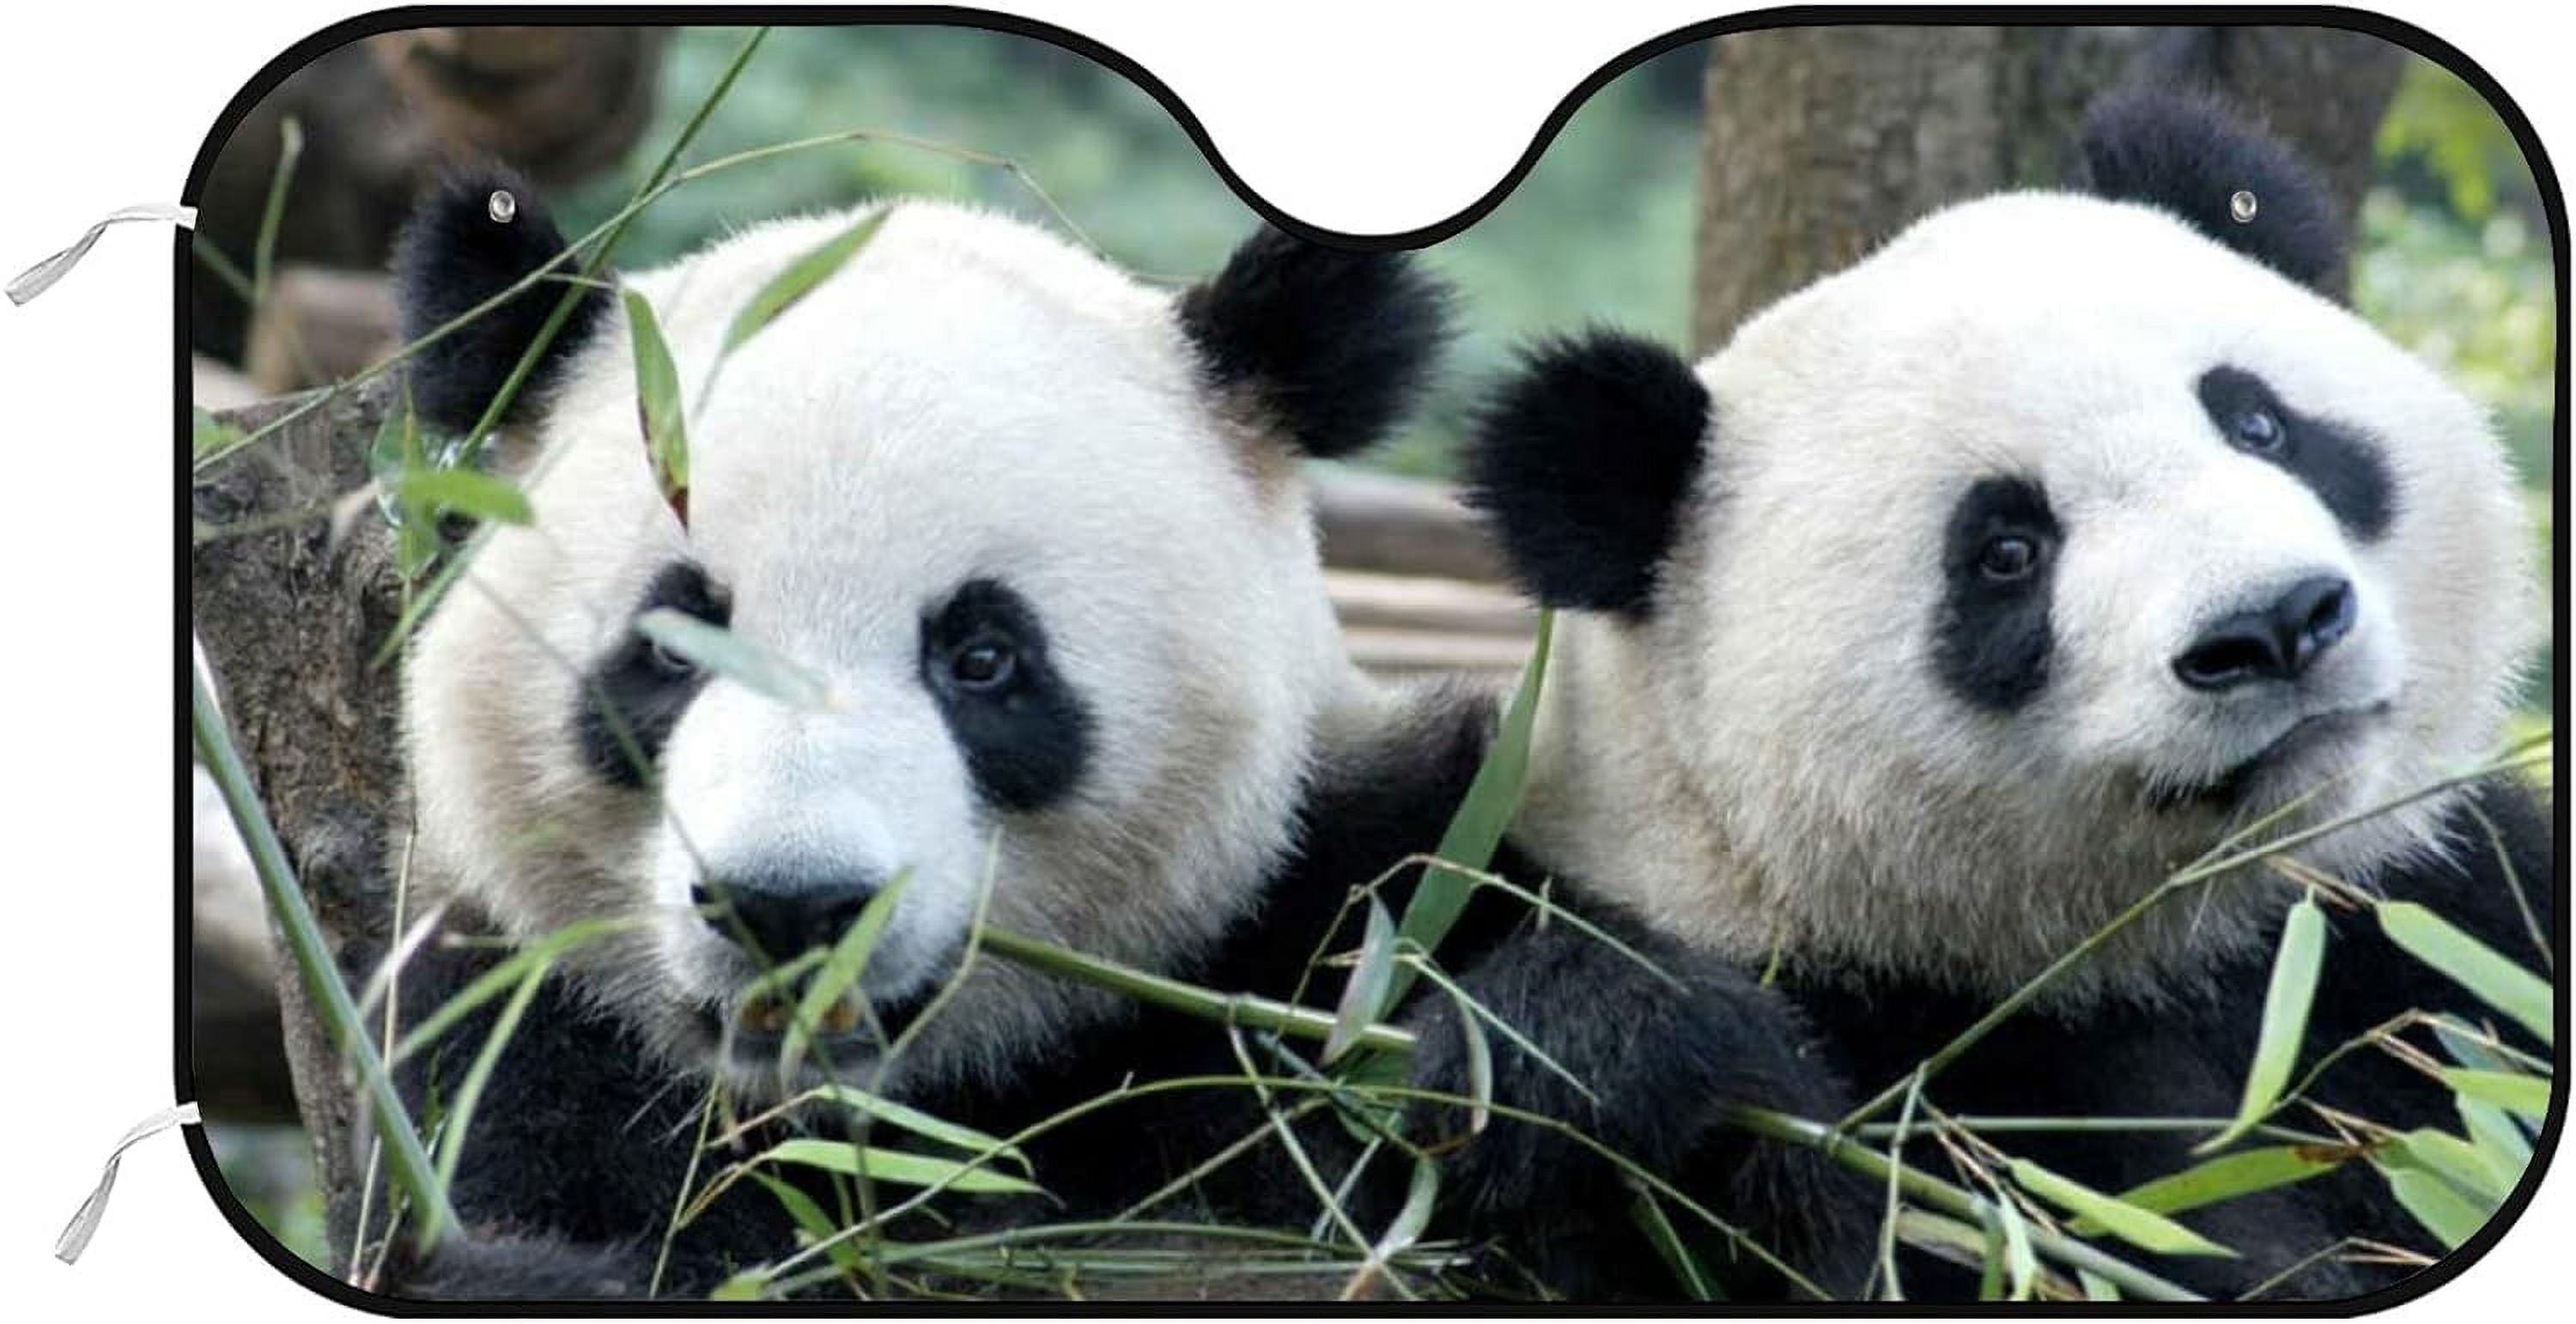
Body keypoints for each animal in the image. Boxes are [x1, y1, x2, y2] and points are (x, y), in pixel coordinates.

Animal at [368, 171, 1861, 1302]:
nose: (794, 907)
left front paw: (1569, 1065)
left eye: (983, 657)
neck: (924, 1113)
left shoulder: (1337, 903)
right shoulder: (519, 1043)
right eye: (672, 649)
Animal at [1460, 89, 2553, 1301]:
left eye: (2261, 424)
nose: (2273, 625)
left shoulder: (2424, 927)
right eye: (2006, 552)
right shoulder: (1920, 1057)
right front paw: (1614, 1048)